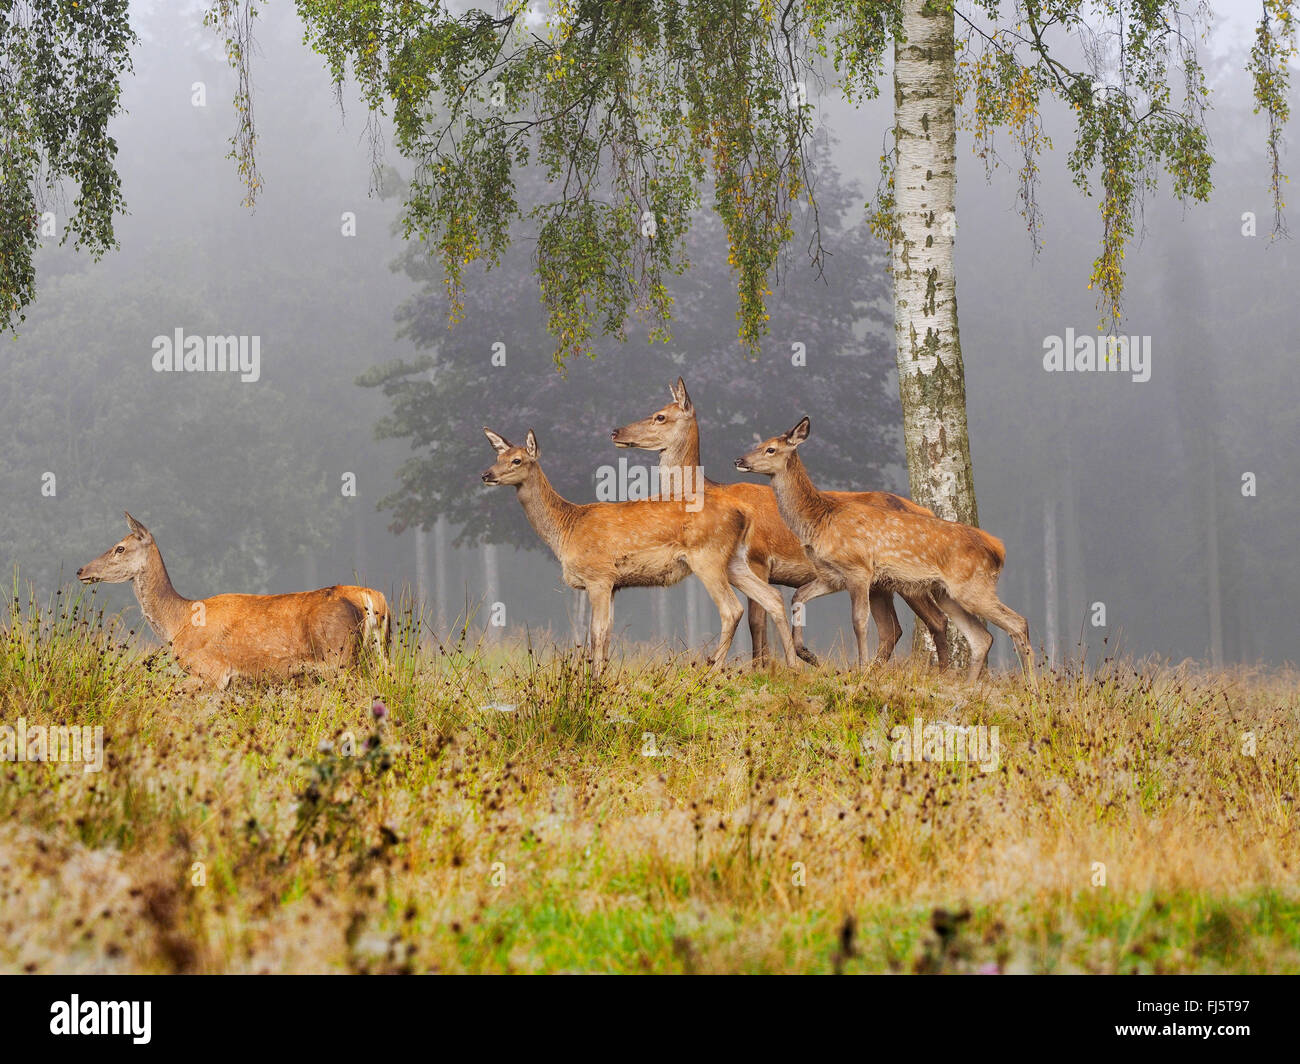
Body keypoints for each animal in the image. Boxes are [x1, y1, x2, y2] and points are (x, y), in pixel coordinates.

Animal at [76, 512, 390, 691]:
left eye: (119, 548)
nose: (81, 570)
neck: (178, 622)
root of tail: (372, 599)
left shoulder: (211, 673)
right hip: (378, 656)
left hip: (340, 659)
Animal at [480, 428, 799, 673]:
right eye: (497, 456)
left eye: (517, 459)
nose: (486, 474)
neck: (567, 529)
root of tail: (744, 512)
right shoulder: (614, 584)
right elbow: (607, 633)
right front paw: (603, 677)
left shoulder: (598, 577)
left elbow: (596, 633)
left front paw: (593, 682)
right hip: (734, 560)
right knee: (771, 597)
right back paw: (793, 665)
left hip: (707, 556)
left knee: (732, 609)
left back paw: (712, 670)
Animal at [611, 378, 950, 669]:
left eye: (660, 416)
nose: (616, 431)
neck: (709, 489)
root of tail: (929, 512)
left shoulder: (759, 557)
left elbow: (756, 620)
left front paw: (762, 667)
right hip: (881, 584)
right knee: (893, 629)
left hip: (908, 578)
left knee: (934, 620)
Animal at [736, 418, 1032, 682]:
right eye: (759, 444)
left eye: (771, 449)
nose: (739, 460)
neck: (820, 521)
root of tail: (998, 548)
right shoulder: (832, 575)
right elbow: (798, 596)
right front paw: (807, 654)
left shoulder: (858, 569)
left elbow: (859, 621)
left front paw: (860, 667)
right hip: (946, 592)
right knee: (982, 637)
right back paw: (968, 687)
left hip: (971, 585)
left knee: (1017, 623)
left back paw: (1032, 689)